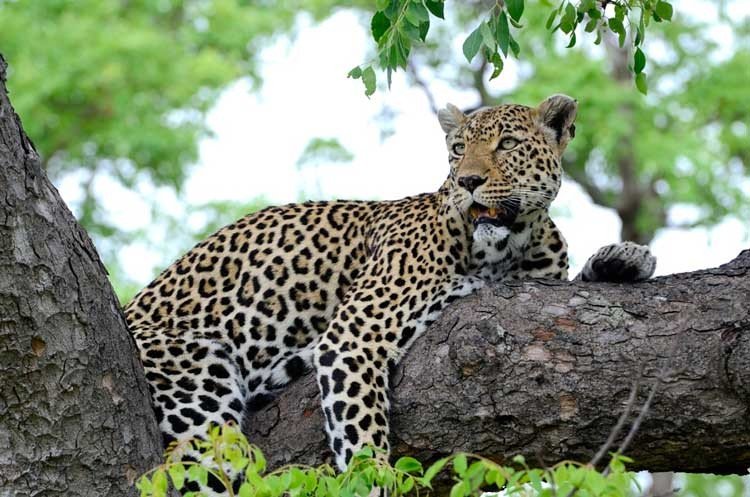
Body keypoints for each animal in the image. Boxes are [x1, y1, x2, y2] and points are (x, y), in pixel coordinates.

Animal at [124, 94, 655, 493]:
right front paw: (374, 477)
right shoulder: (354, 333)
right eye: (458, 149)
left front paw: (624, 258)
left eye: (507, 144)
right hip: (197, 387)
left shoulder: (540, 287)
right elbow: (360, 426)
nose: (468, 180)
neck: (507, 248)